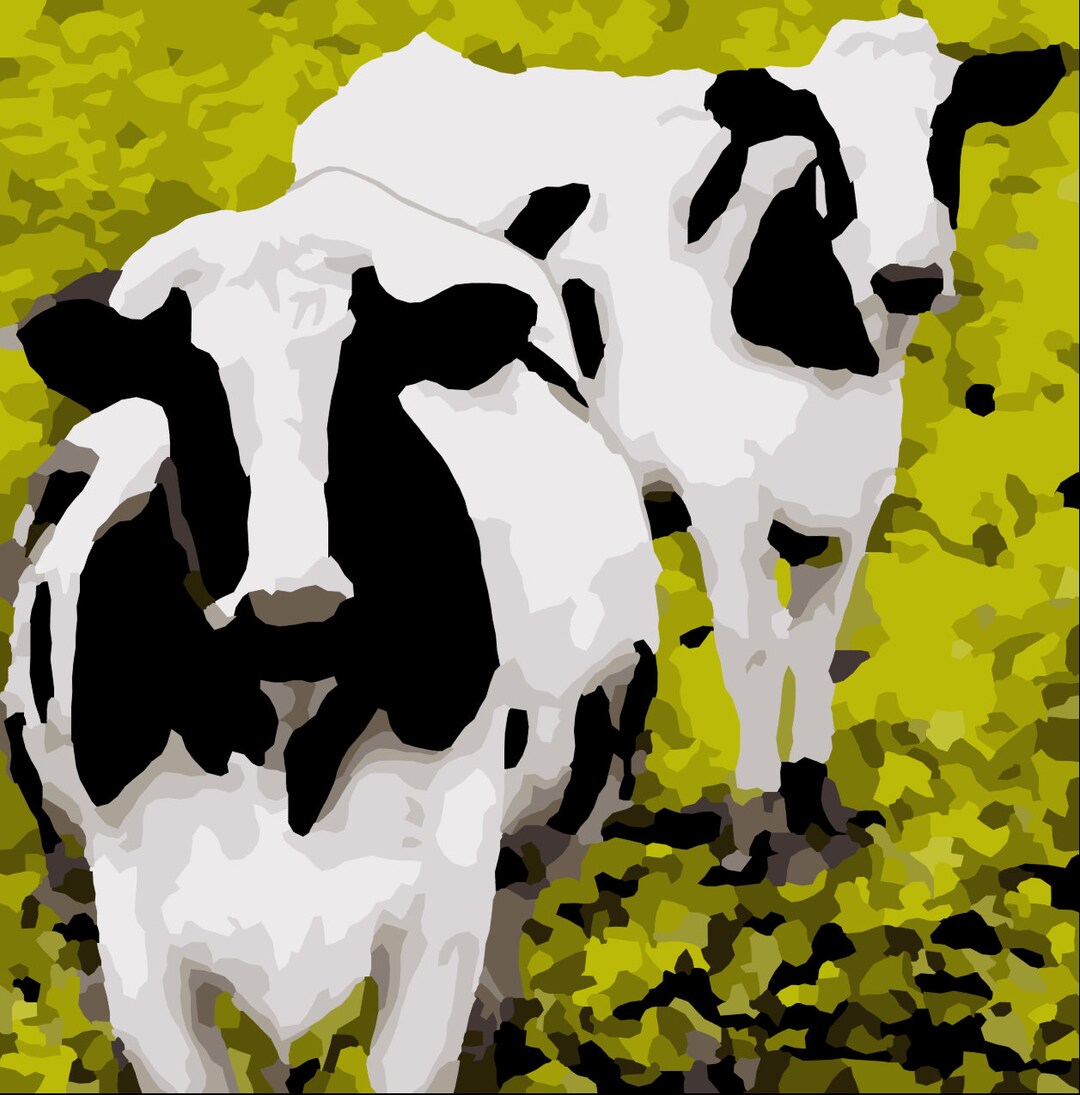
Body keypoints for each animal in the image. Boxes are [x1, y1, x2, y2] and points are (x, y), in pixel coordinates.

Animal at [289, 15, 1066, 802]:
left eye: (948, 127)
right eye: (828, 141)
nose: (909, 278)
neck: (835, 366)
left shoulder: (849, 504)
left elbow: (815, 649)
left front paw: (810, 796)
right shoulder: (725, 495)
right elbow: (753, 648)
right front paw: (756, 800)